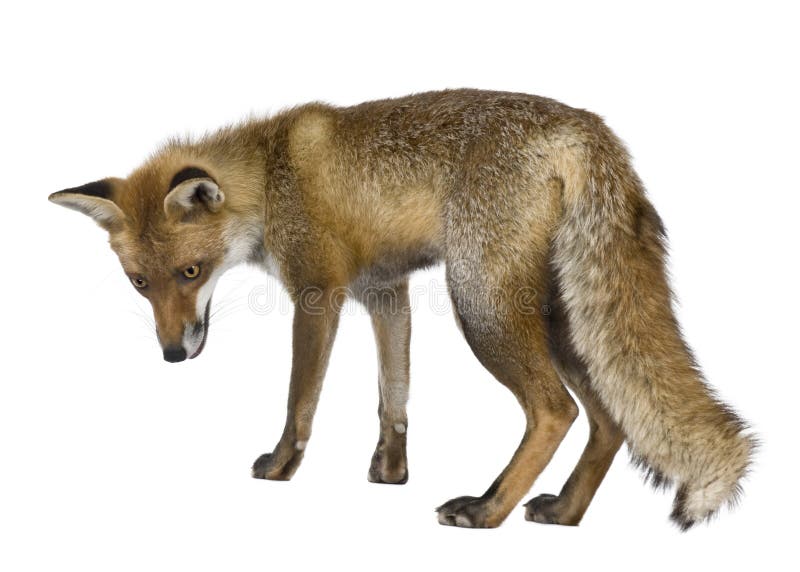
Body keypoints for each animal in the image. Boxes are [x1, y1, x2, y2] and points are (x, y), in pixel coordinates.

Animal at [49, 89, 754, 529]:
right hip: (560, 318)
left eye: (191, 273)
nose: (173, 353)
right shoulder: (385, 292)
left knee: (557, 412)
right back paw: (563, 513)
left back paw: (487, 511)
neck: (270, 177)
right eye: (140, 282)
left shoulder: (319, 294)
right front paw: (391, 471)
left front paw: (282, 467)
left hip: (482, 304)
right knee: (609, 422)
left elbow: (300, 401)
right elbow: (394, 395)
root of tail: (588, 125)